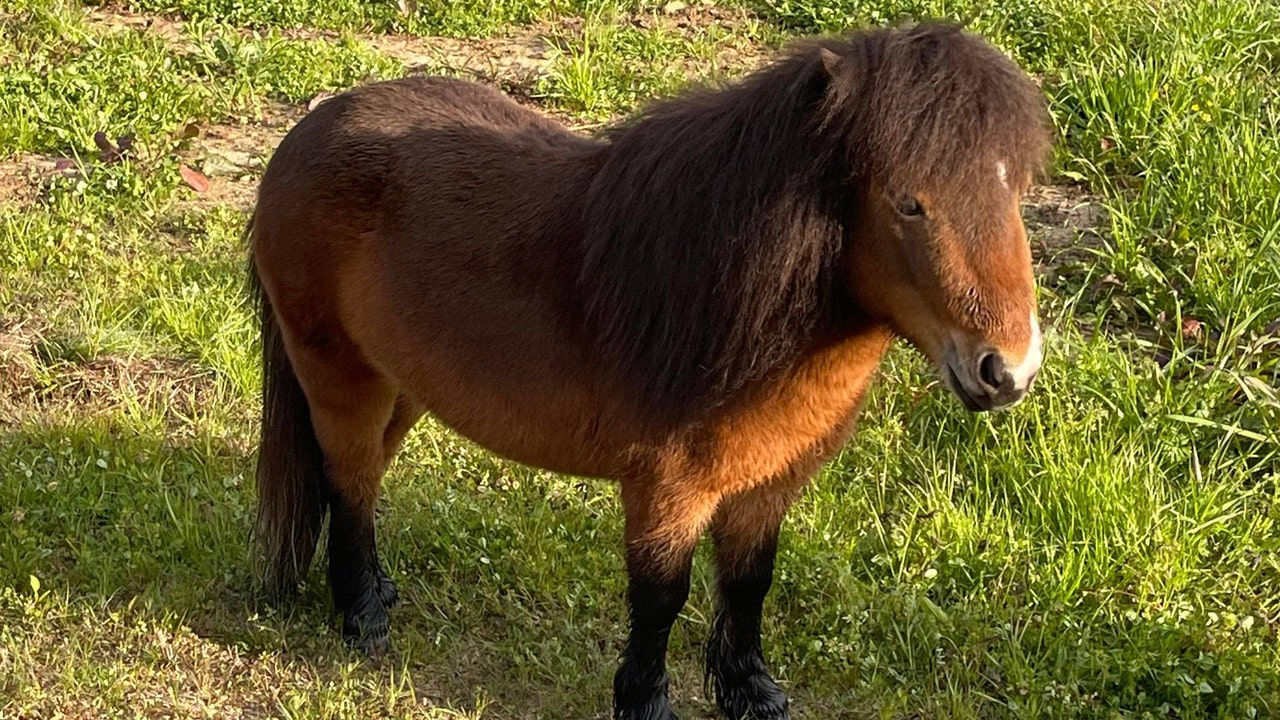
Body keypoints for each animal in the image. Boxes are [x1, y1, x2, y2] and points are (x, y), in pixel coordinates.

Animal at [248, 21, 1051, 720]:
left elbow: (750, 582)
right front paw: (646, 702)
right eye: (910, 204)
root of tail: (305, 136)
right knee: (350, 481)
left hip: (402, 383)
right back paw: (361, 615)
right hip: (339, 376)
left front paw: (749, 692)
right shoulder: (666, 489)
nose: (1007, 371)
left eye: (1014, 191)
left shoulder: (767, 484)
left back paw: (378, 590)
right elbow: (661, 598)